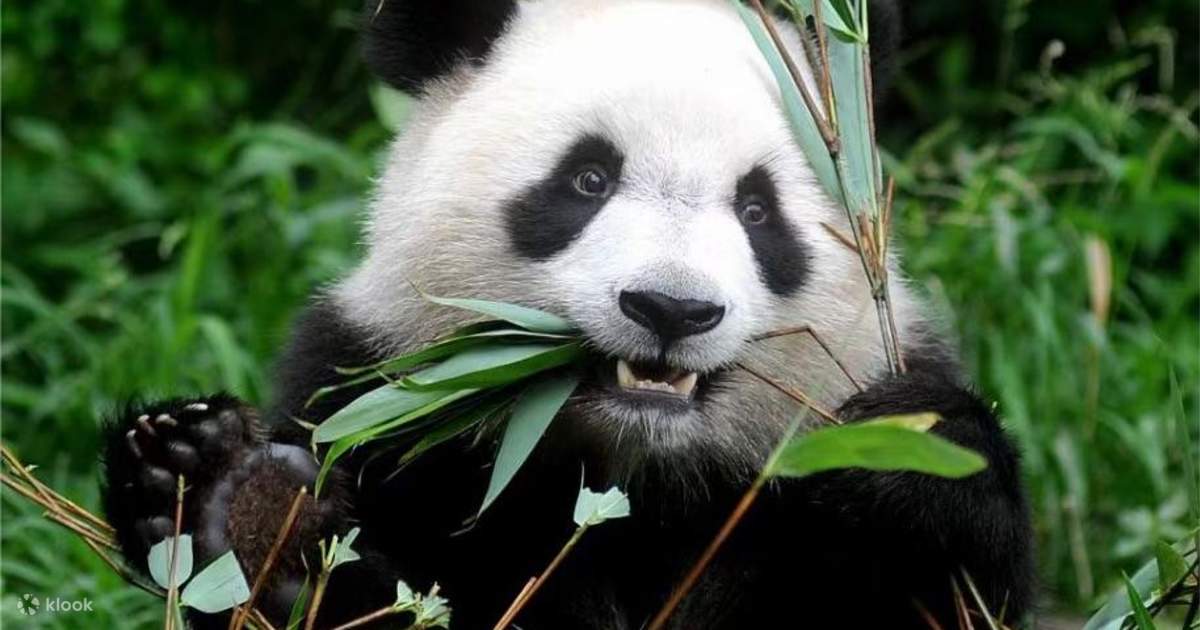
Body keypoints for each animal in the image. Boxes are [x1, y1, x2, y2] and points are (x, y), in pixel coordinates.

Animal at [101, 1, 1035, 628]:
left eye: (758, 209)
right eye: (588, 178)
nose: (671, 307)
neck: (634, 472)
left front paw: (912, 451)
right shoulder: (368, 394)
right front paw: (204, 481)